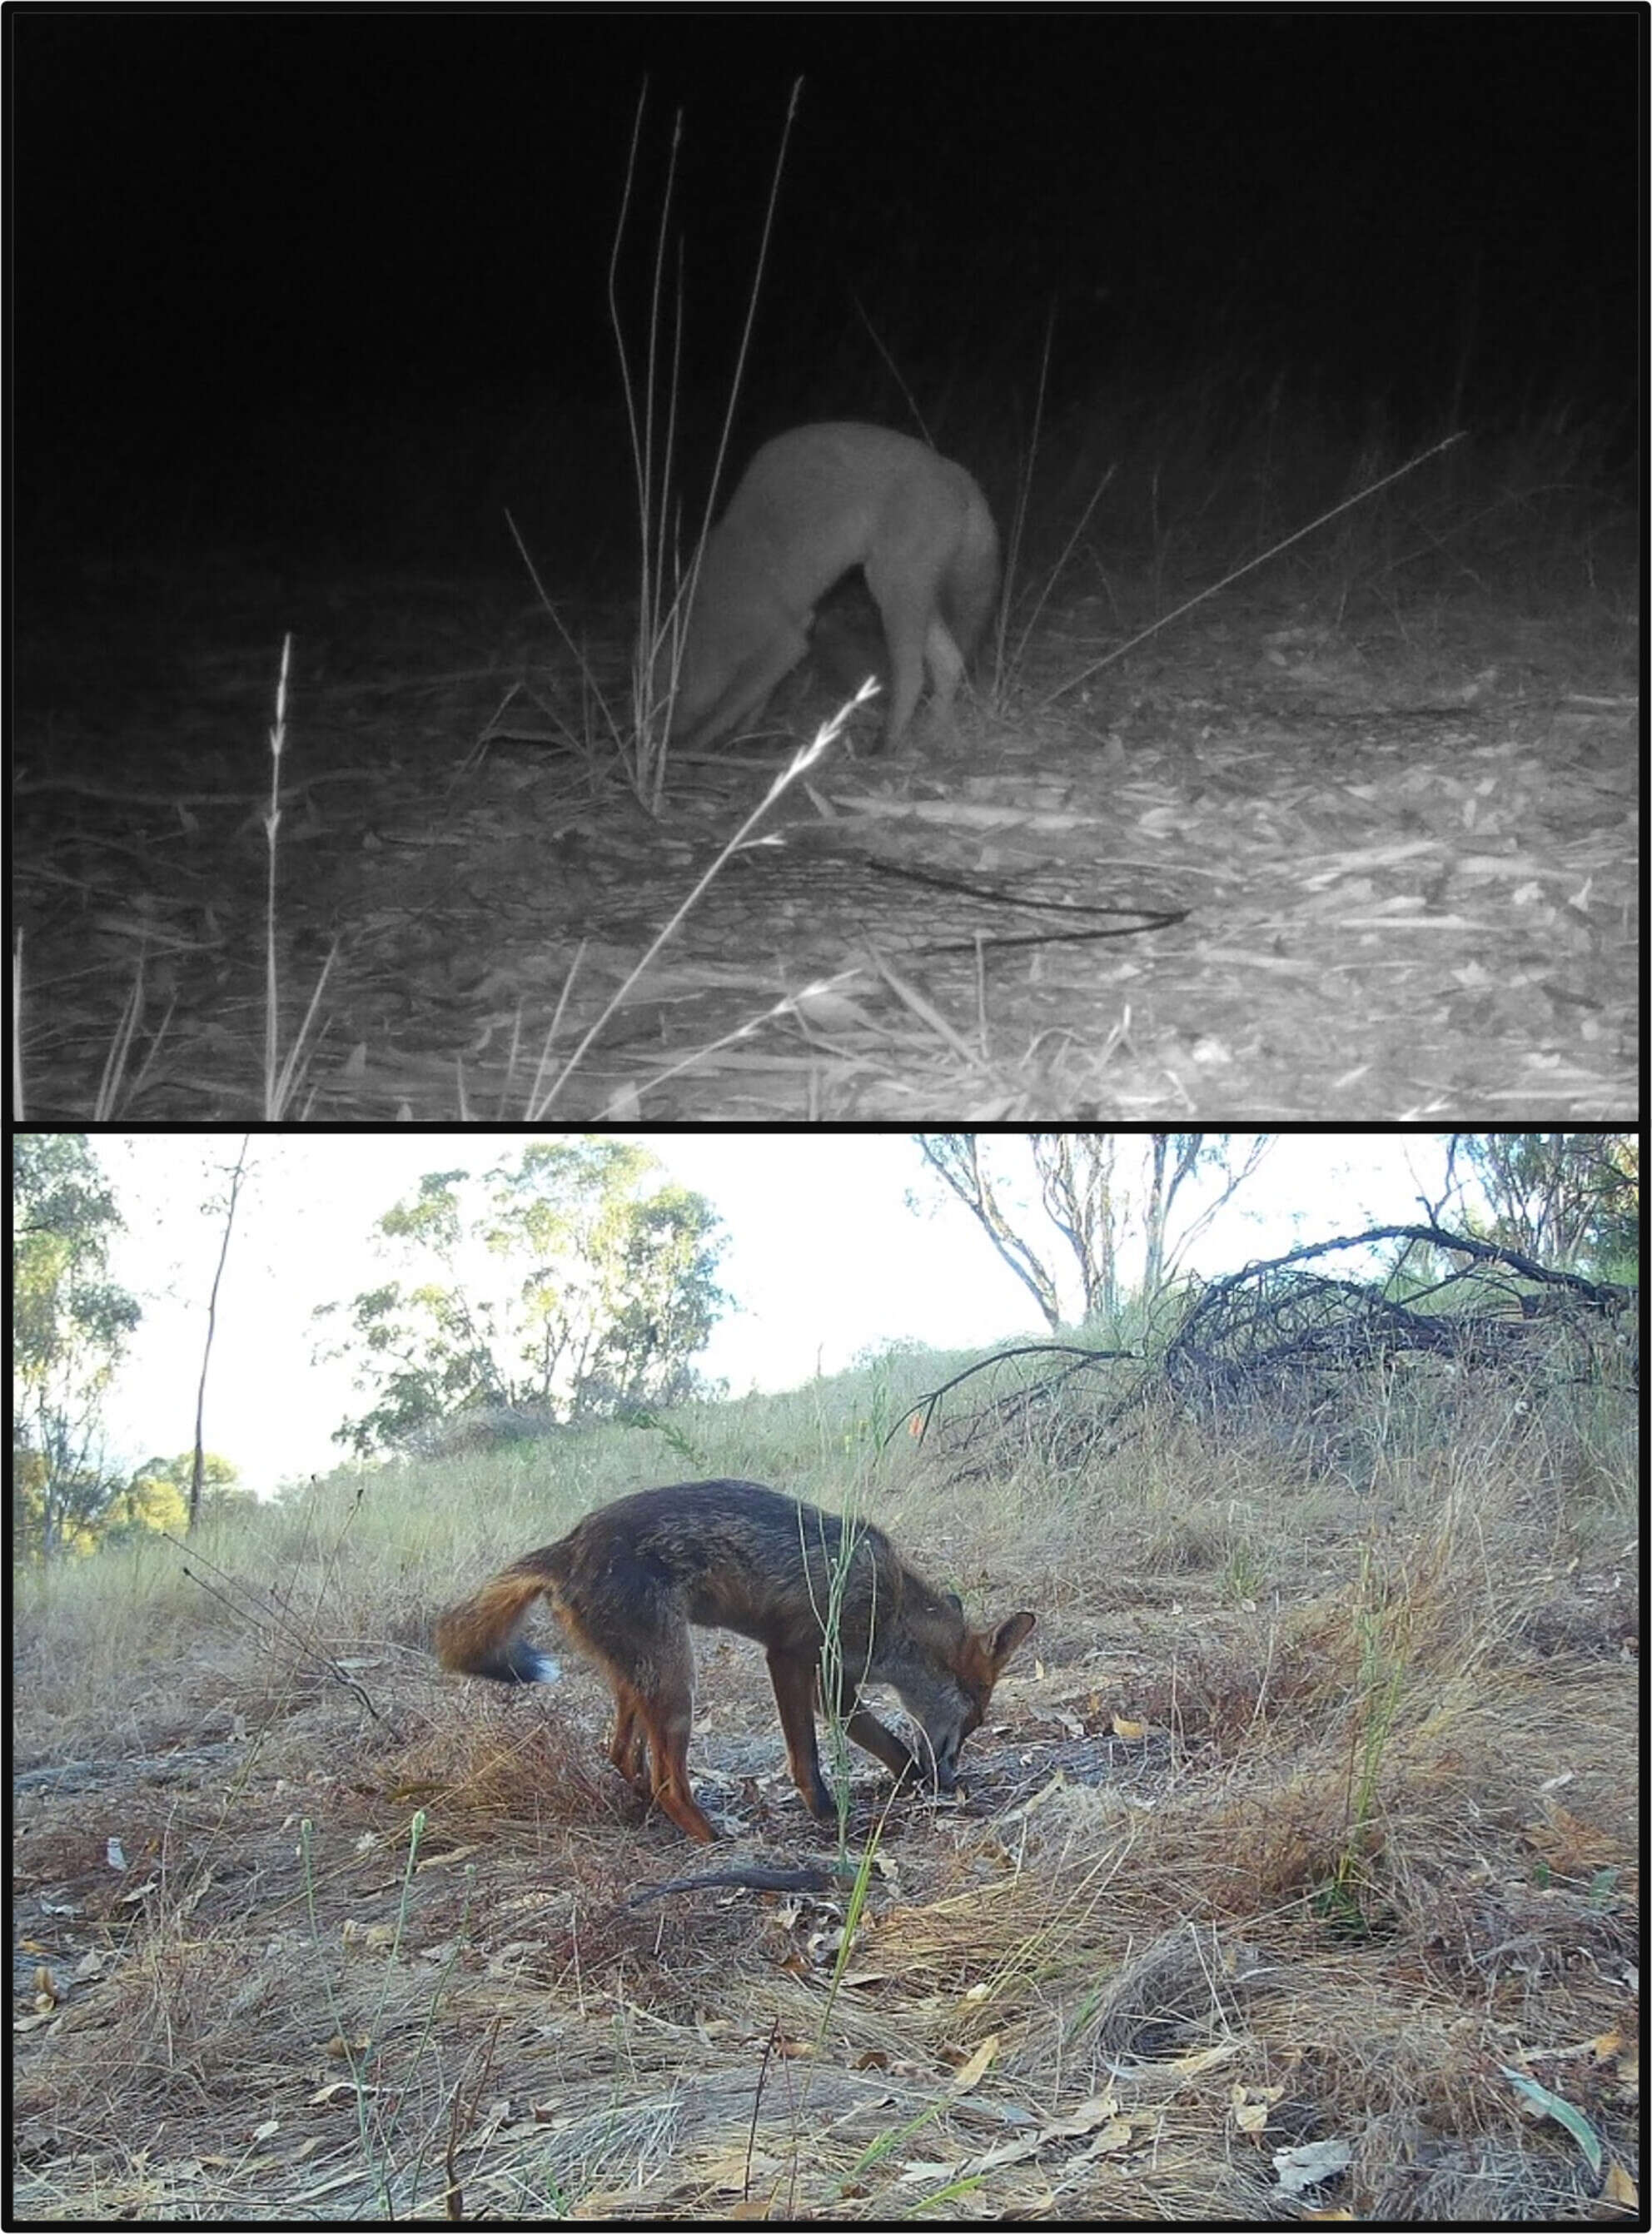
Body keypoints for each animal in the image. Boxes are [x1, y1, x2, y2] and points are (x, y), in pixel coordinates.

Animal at [434, 1478, 1035, 1843]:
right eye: (974, 1720)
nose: (954, 1778)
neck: (892, 1607)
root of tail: (570, 1542)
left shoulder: (834, 1680)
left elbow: (888, 1744)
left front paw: (913, 1782)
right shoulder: (795, 1660)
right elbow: (815, 1755)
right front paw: (829, 1811)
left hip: (639, 1681)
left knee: (624, 1755)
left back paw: (650, 1811)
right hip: (677, 1683)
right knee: (668, 1781)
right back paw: (713, 1839)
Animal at [667, 423, 1000, 756]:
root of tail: (952, 469)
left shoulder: (784, 642)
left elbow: (721, 714)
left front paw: (686, 749)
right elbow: (751, 705)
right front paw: (744, 735)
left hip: (892, 586)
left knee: (912, 676)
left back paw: (884, 746)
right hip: (914, 591)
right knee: (949, 661)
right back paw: (935, 736)